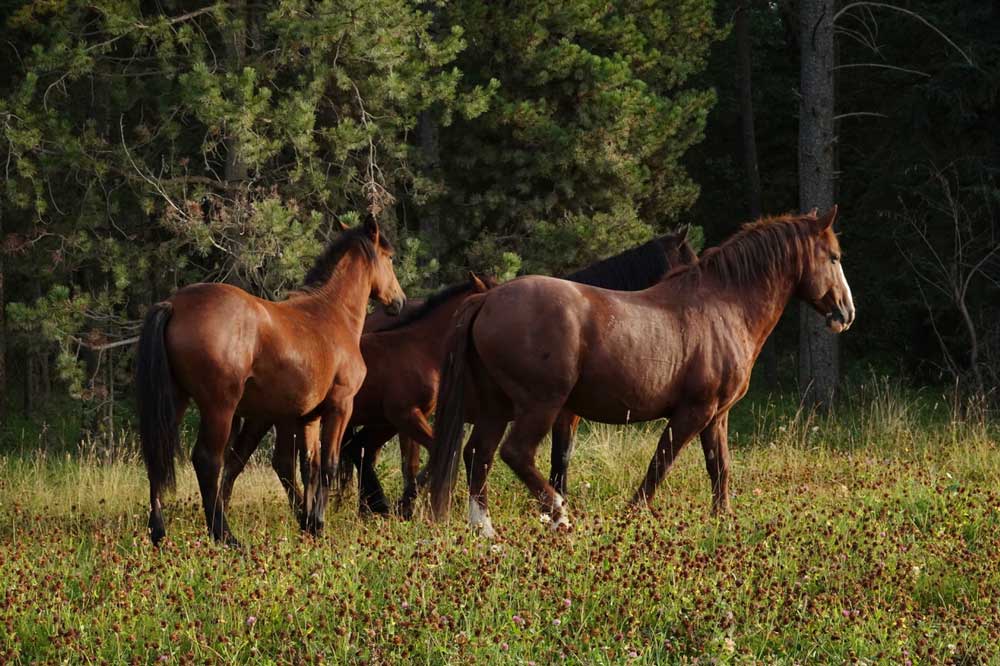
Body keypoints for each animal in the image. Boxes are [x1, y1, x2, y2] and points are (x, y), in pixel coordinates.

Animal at [136, 216, 405, 545]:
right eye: (389, 257)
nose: (399, 300)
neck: (331, 313)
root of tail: (174, 305)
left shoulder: (307, 418)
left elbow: (309, 466)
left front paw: (310, 524)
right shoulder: (340, 407)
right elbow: (328, 465)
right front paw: (318, 522)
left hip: (176, 402)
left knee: (157, 457)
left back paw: (159, 532)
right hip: (220, 409)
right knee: (207, 460)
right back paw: (224, 535)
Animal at [427, 207, 854, 537]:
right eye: (833, 257)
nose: (846, 313)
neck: (724, 306)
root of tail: (487, 299)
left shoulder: (717, 415)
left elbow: (720, 469)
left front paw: (723, 520)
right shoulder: (693, 412)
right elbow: (660, 464)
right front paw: (631, 515)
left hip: (496, 407)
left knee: (477, 454)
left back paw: (486, 530)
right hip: (539, 405)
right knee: (514, 453)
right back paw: (559, 516)